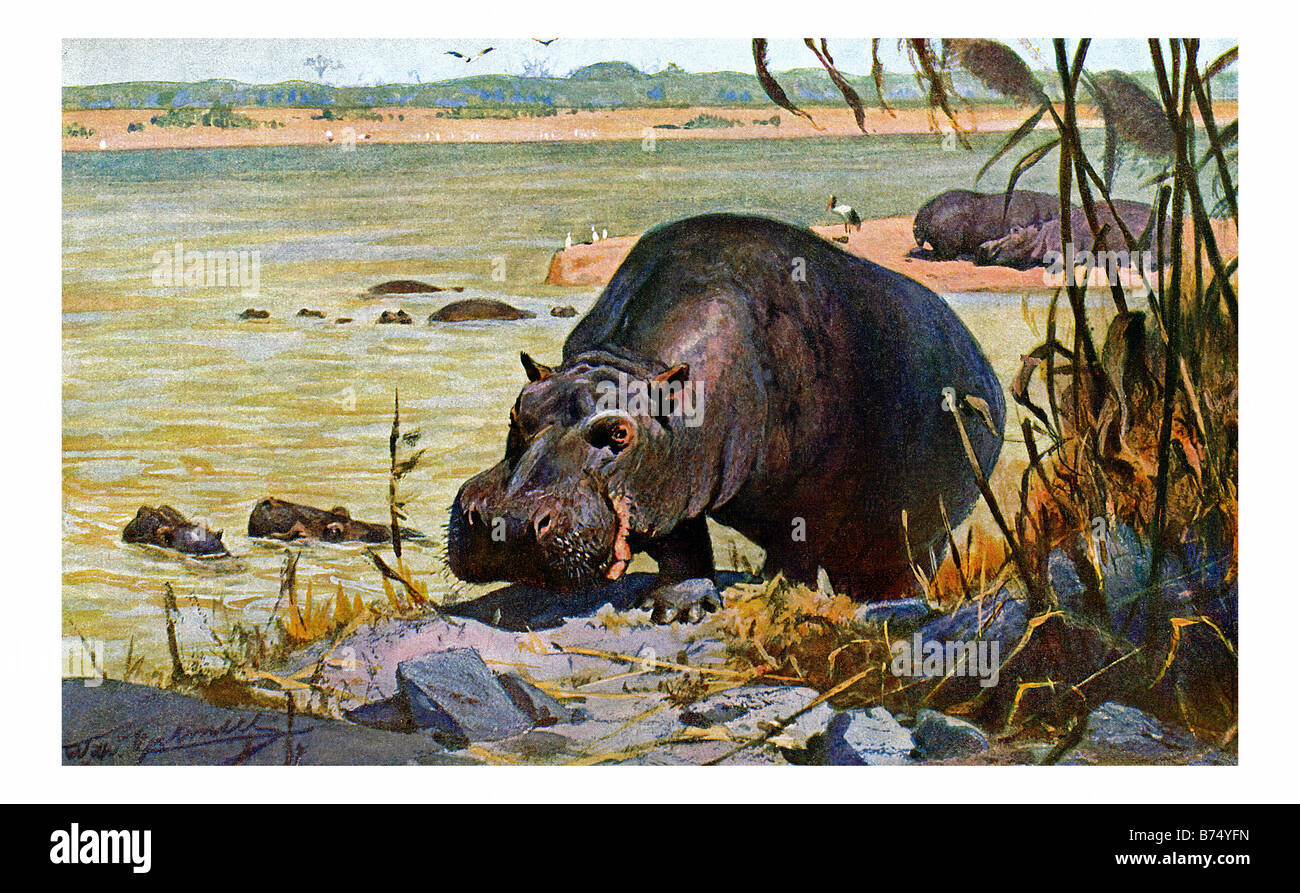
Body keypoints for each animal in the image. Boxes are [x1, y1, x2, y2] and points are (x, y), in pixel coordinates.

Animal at [448, 213, 1005, 622]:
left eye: (620, 433)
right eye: (518, 408)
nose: (506, 521)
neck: (634, 366)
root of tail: (986, 368)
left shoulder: (806, 493)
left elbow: (795, 547)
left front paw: (772, 594)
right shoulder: (675, 478)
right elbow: (680, 542)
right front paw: (677, 609)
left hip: (923, 531)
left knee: (899, 568)